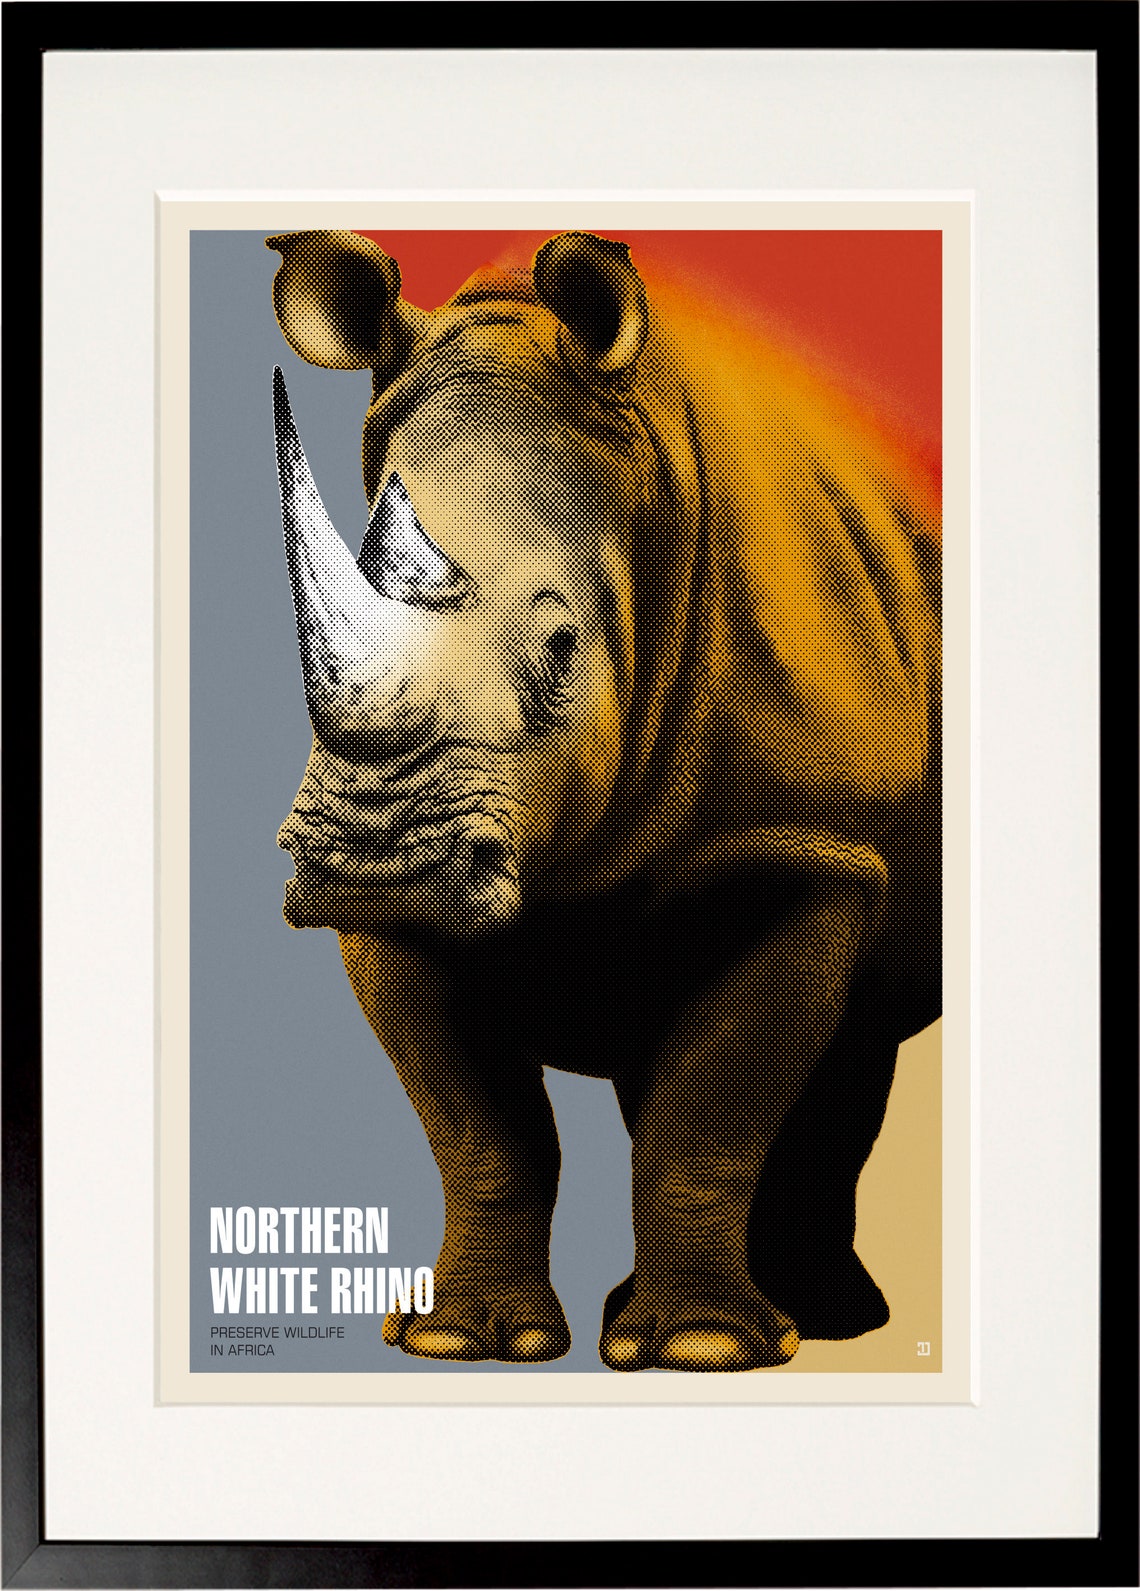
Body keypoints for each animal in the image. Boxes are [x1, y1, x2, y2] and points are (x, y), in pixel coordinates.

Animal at [267, 229, 941, 1371]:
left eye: (561, 646)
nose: (375, 858)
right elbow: (478, 1130)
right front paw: (458, 1340)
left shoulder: (810, 840)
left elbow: (711, 1108)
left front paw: (705, 1351)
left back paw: (821, 1324)